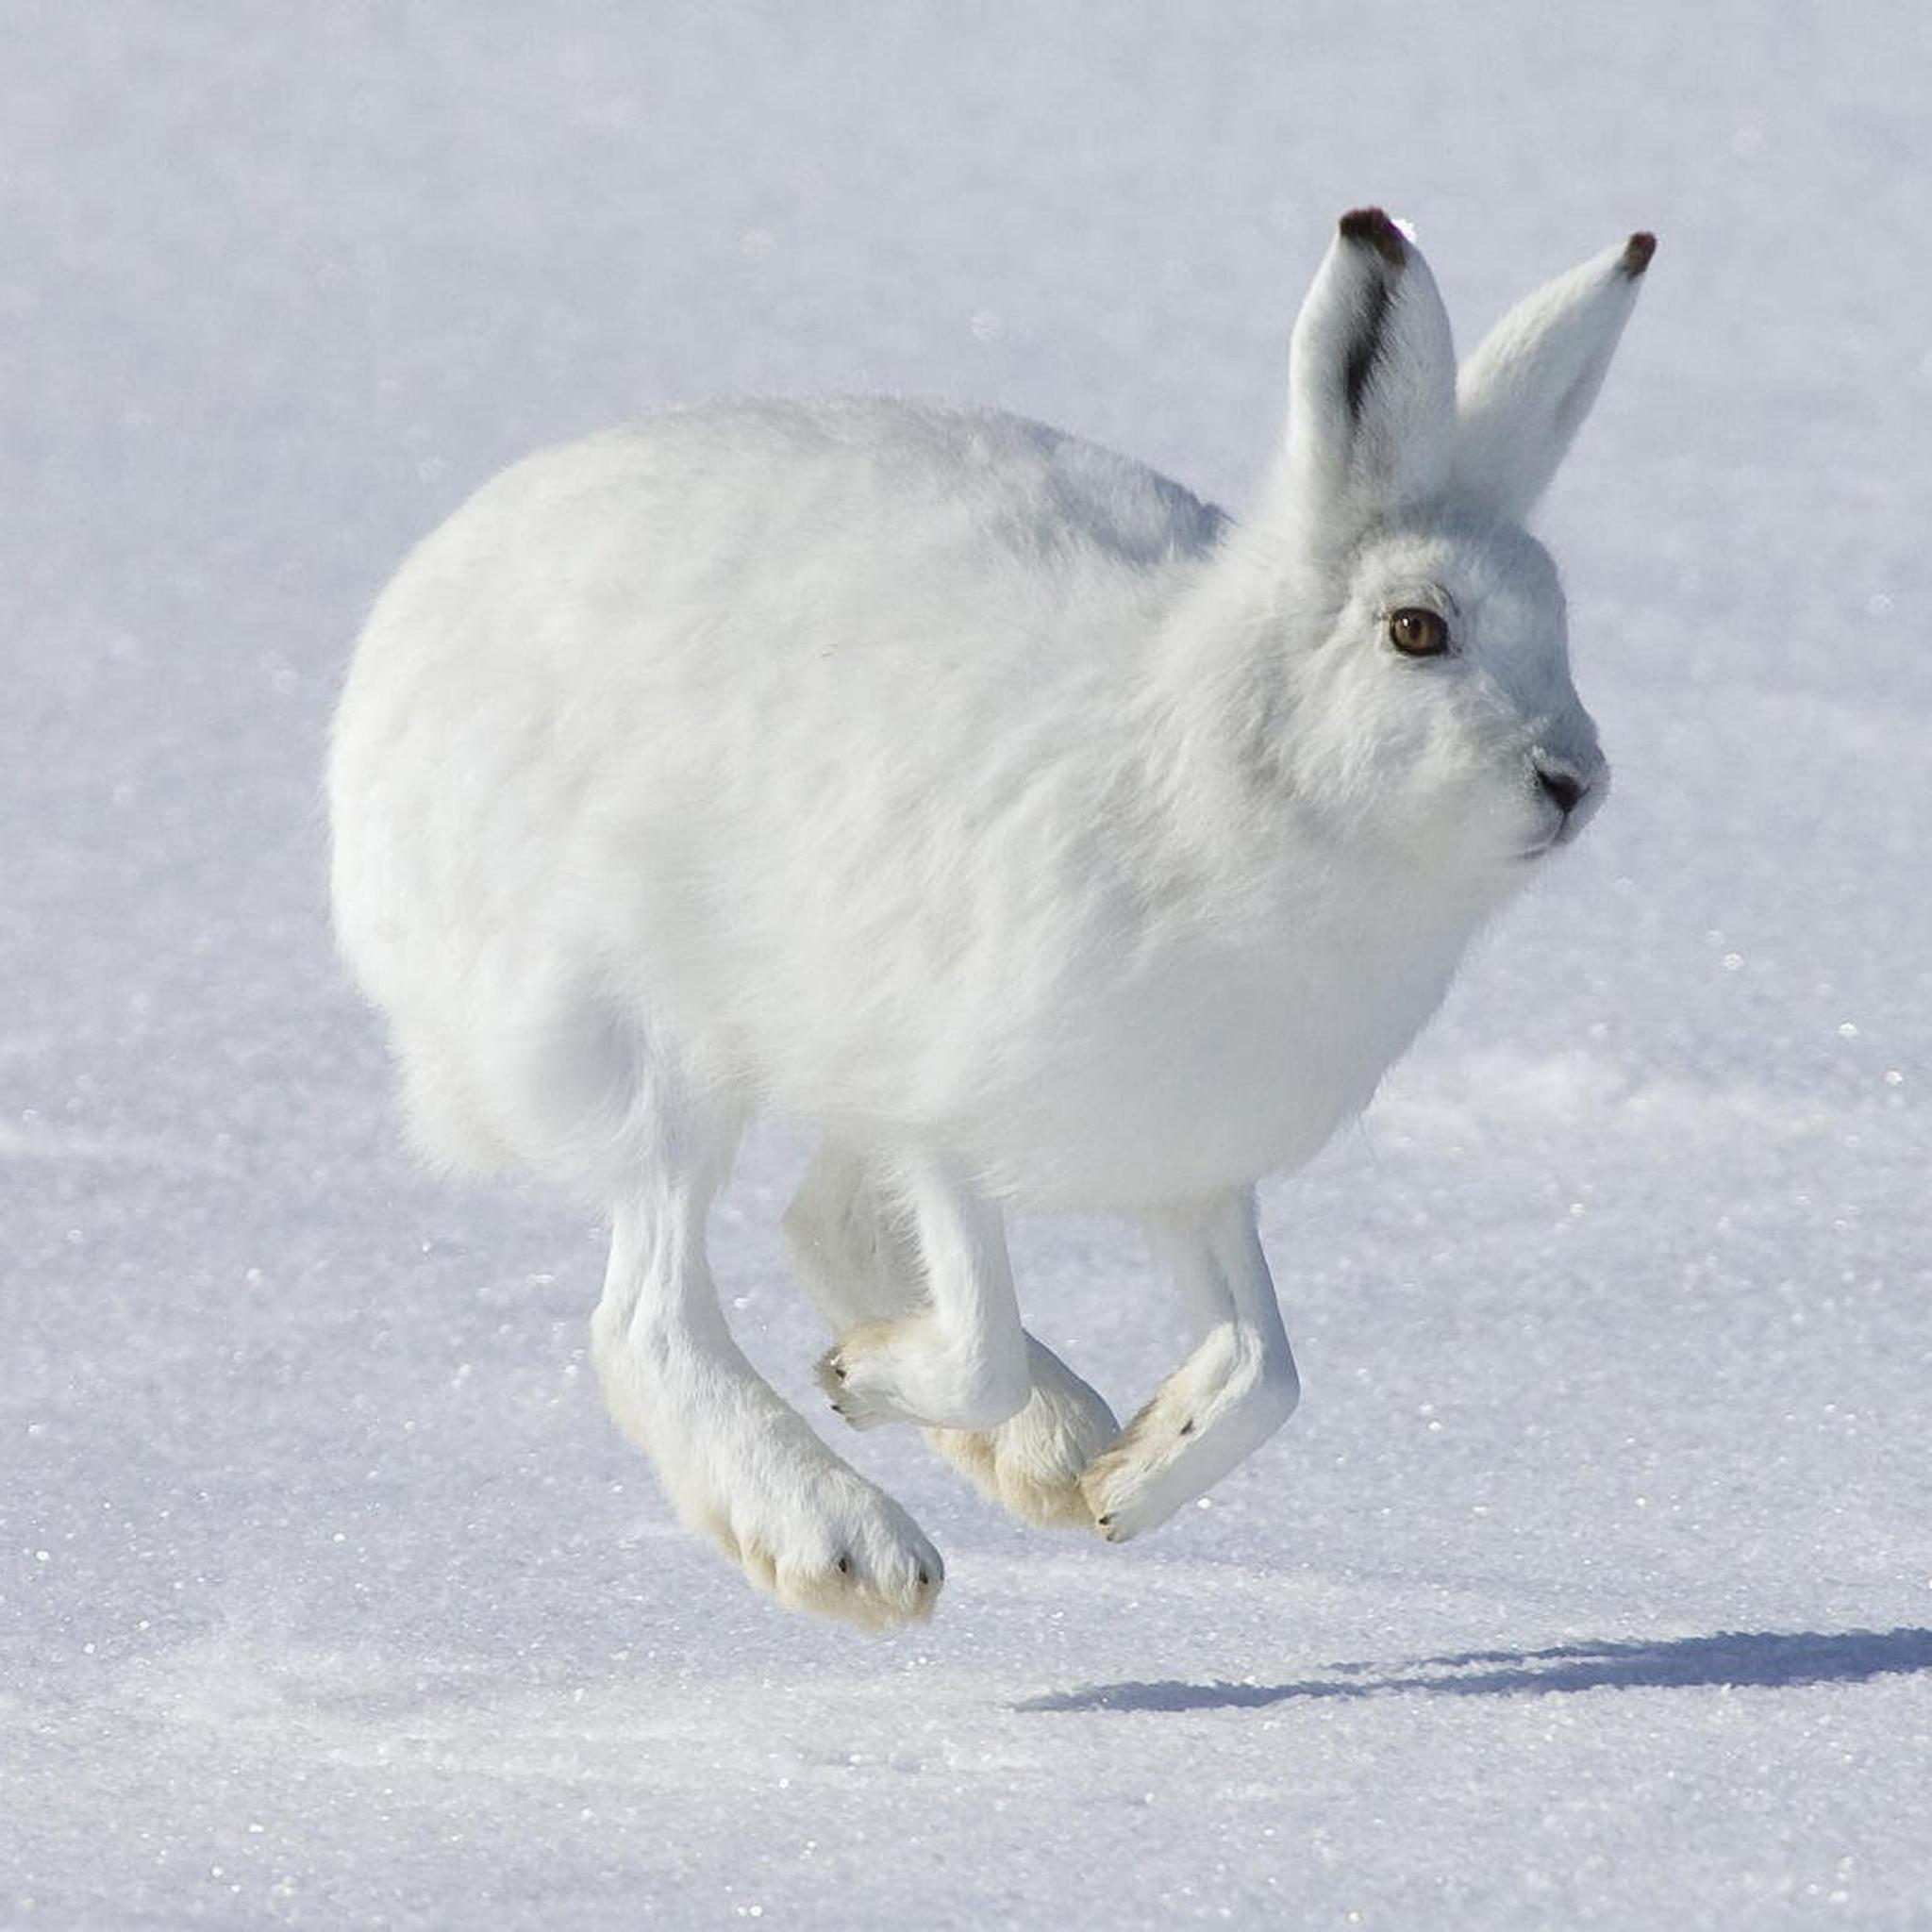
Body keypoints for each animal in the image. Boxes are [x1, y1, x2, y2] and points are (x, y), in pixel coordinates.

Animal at [329, 208, 1653, 1631]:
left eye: (1558, 625)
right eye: (1415, 630)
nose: (1572, 780)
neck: (1234, 775)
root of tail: (393, 657)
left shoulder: (1195, 1166)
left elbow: (1266, 1367)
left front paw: (1129, 1479)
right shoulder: (942, 1111)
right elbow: (978, 1345)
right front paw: (868, 1385)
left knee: (818, 1229)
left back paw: (1055, 1451)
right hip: (647, 1043)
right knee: (650, 1315)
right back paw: (845, 1542)